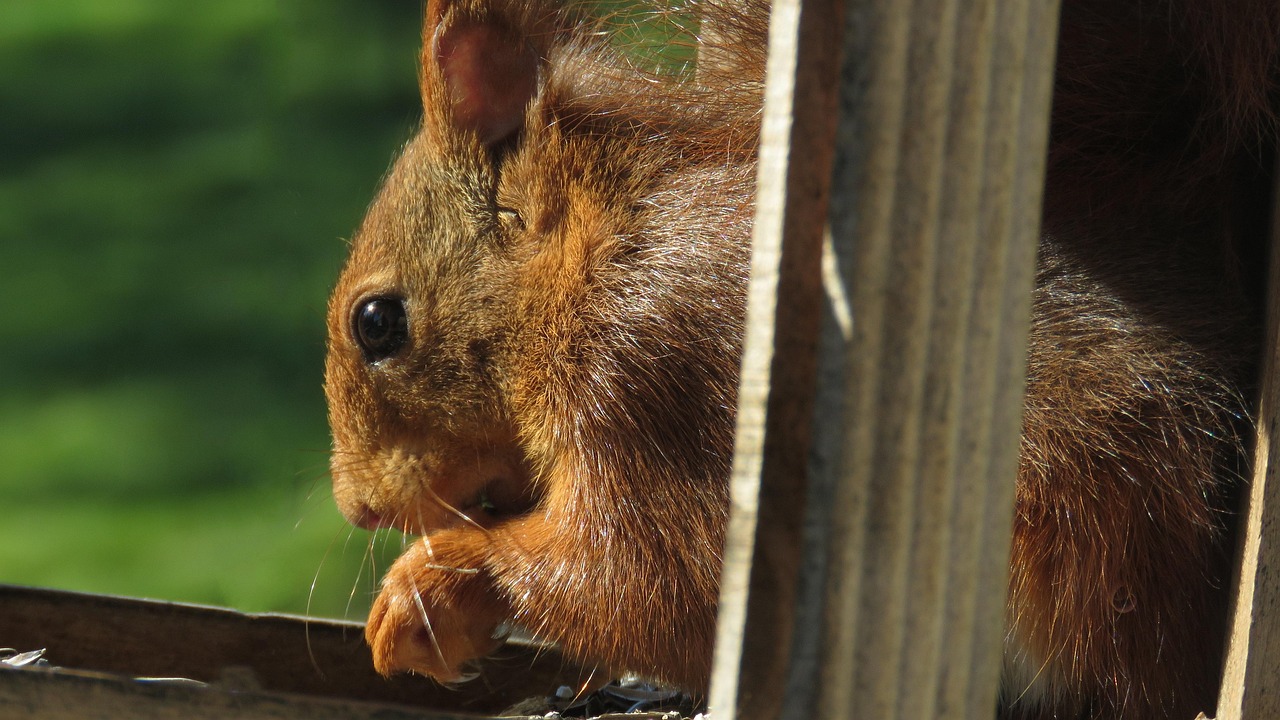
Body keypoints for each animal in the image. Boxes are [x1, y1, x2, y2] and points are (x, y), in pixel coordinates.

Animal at [323, 1, 1279, 718]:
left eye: (378, 322)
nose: (358, 508)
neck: (593, 250)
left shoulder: (651, 369)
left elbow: (657, 586)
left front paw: (428, 590)